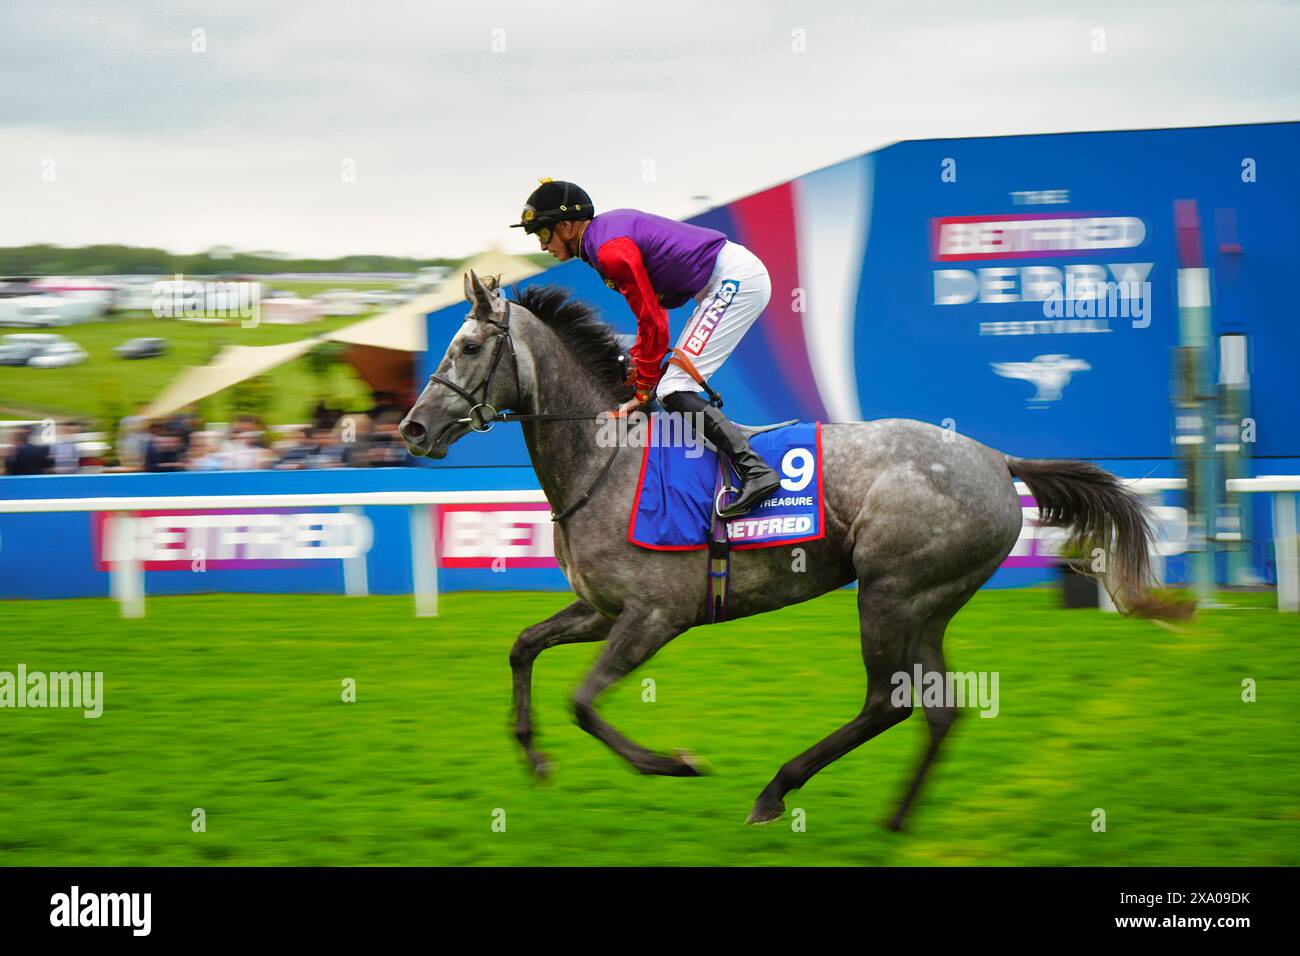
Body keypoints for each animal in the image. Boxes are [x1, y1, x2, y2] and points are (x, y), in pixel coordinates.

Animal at [399, 271, 1156, 828]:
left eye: (469, 347)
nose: (411, 428)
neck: (603, 461)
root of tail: (998, 459)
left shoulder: (655, 614)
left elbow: (584, 701)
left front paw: (675, 762)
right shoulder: (602, 609)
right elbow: (522, 647)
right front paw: (534, 757)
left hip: (890, 591)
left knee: (888, 702)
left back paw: (777, 789)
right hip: (931, 604)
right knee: (939, 710)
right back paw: (896, 819)